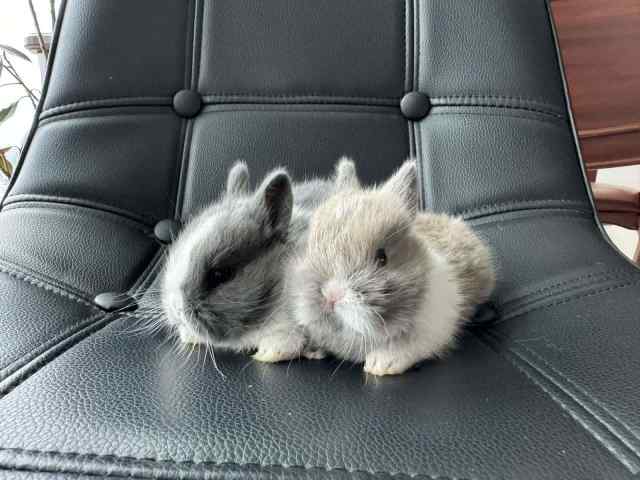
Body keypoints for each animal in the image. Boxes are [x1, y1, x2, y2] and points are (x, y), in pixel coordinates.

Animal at [288, 158, 496, 376]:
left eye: (382, 258)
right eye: (311, 247)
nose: (330, 295)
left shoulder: (436, 325)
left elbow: (412, 343)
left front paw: (381, 363)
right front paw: (313, 349)